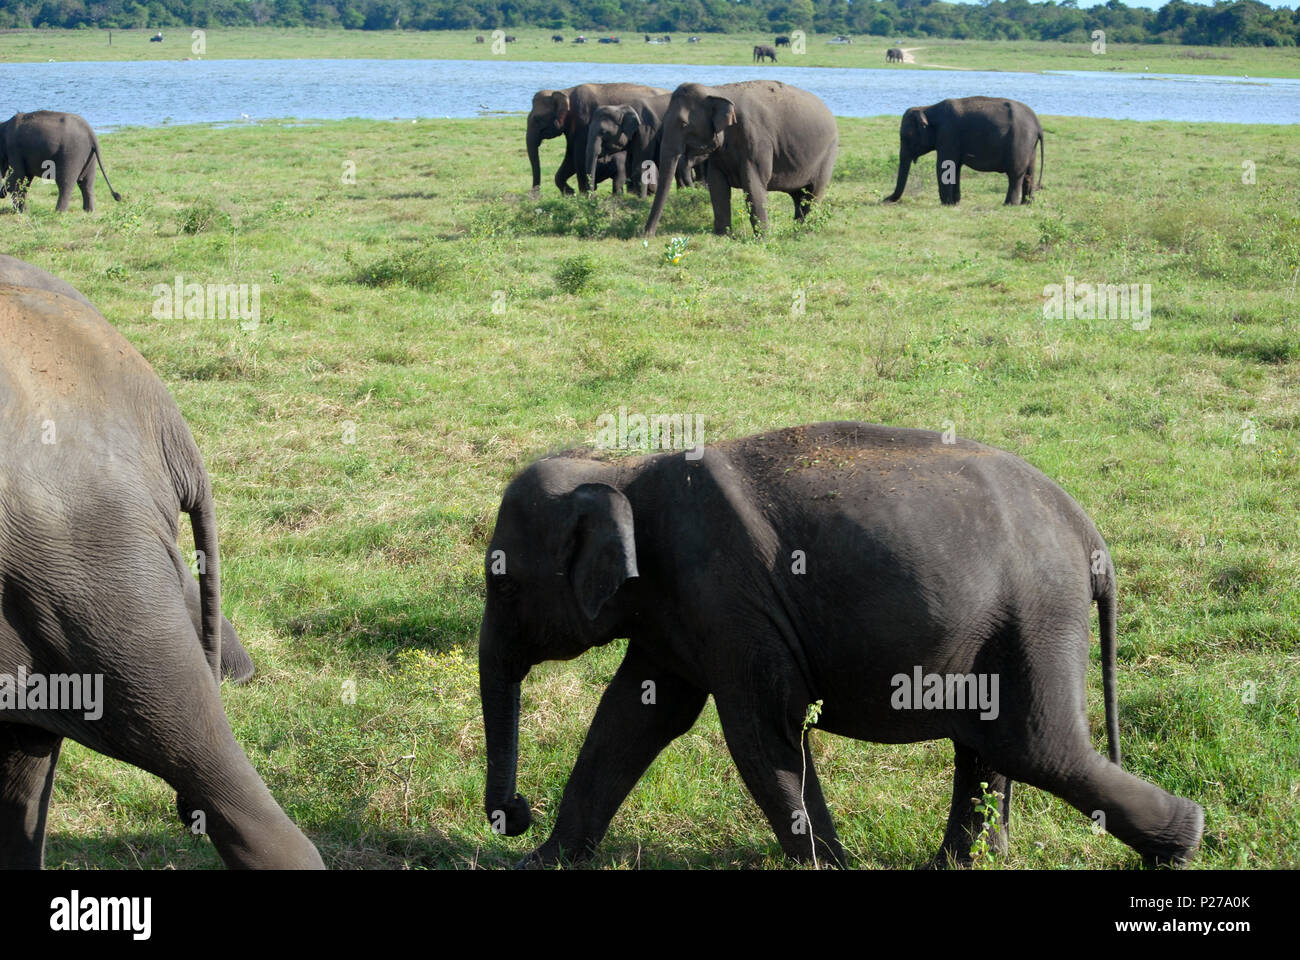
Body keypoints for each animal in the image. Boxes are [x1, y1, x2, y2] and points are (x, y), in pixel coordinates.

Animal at [478, 421, 1206, 869]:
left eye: (503, 585)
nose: (513, 814)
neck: (622, 471)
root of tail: (1089, 531)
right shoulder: (677, 613)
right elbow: (633, 718)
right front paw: (542, 864)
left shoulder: (730, 601)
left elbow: (763, 735)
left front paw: (830, 866)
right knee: (992, 743)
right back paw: (961, 863)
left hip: (1036, 614)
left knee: (1036, 746)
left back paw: (1185, 843)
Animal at [526, 82, 668, 196]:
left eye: (537, 119)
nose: (535, 196)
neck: (566, 92)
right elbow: (570, 158)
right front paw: (570, 193)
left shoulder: (583, 122)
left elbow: (579, 157)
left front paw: (582, 196)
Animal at [643, 81, 838, 238]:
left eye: (683, 124)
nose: (646, 236)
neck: (717, 91)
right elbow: (717, 186)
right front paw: (723, 236)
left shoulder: (757, 140)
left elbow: (754, 185)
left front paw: (763, 239)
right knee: (799, 196)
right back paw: (796, 229)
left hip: (828, 153)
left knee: (813, 194)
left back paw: (804, 232)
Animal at [884, 96, 1044, 206]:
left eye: (905, 137)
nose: (884, 199)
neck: (927, 108)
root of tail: (1038, 124)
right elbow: (954, 167)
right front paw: (954, 203)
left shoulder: (948, 134)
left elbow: (943, 166)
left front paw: (946, 204)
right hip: (1030, 146)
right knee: (1030, 172)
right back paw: (1027, 203)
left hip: (1020, 141)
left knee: (1015, 174)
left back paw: (1009, 205)